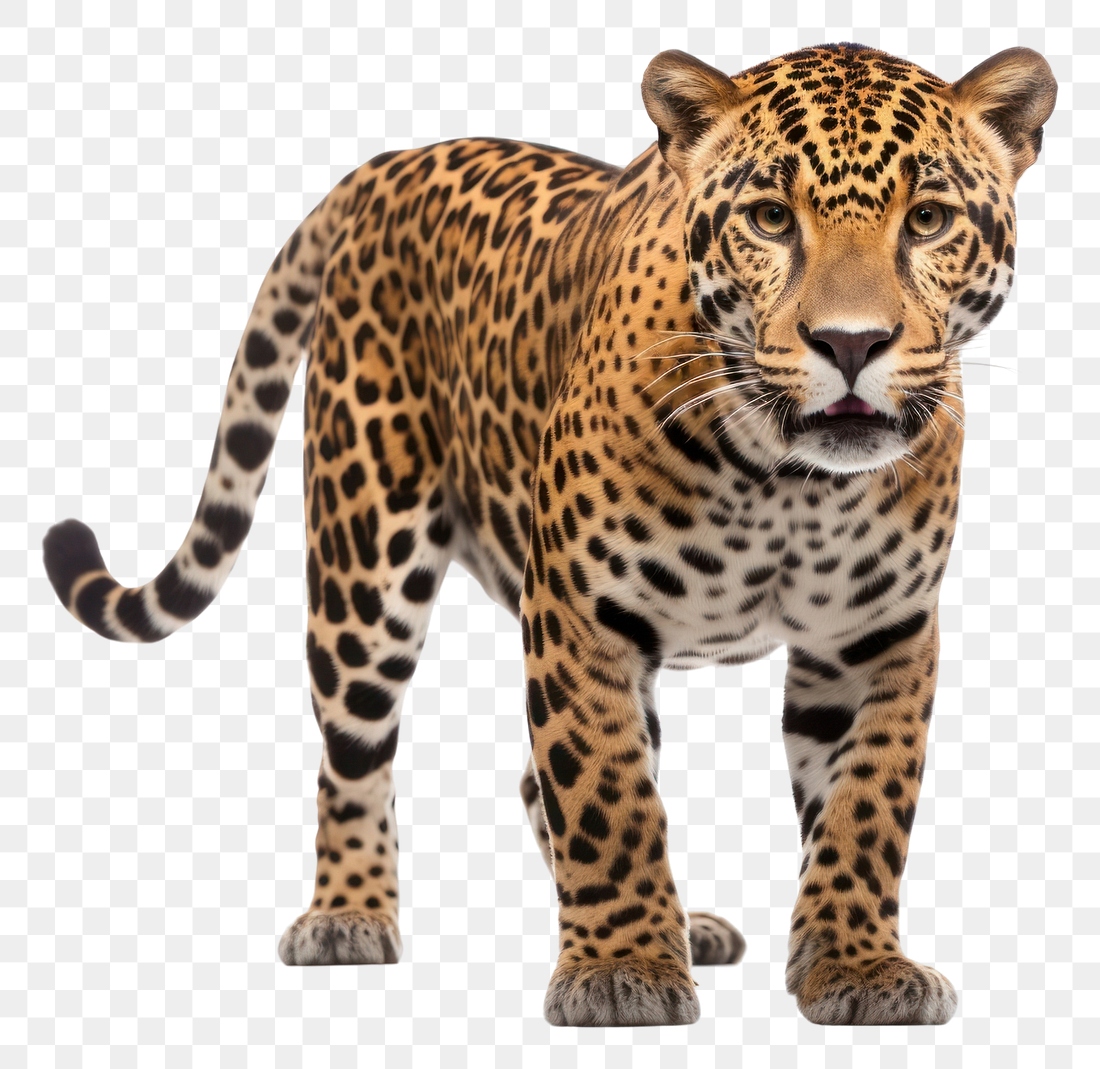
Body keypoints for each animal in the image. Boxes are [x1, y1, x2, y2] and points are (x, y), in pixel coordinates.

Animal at [42, 43, 1057, 1027]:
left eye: (928, 220)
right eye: (771, 218)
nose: (851, 344)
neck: (791, 484)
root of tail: (391, 162)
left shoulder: (880, 636)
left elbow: (866, 806)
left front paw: (857, 964)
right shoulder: (580, 609)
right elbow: (604, 789)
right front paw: (620, 969)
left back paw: (686, 921)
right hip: (366, 565)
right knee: (357, 755)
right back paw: (348, 914)